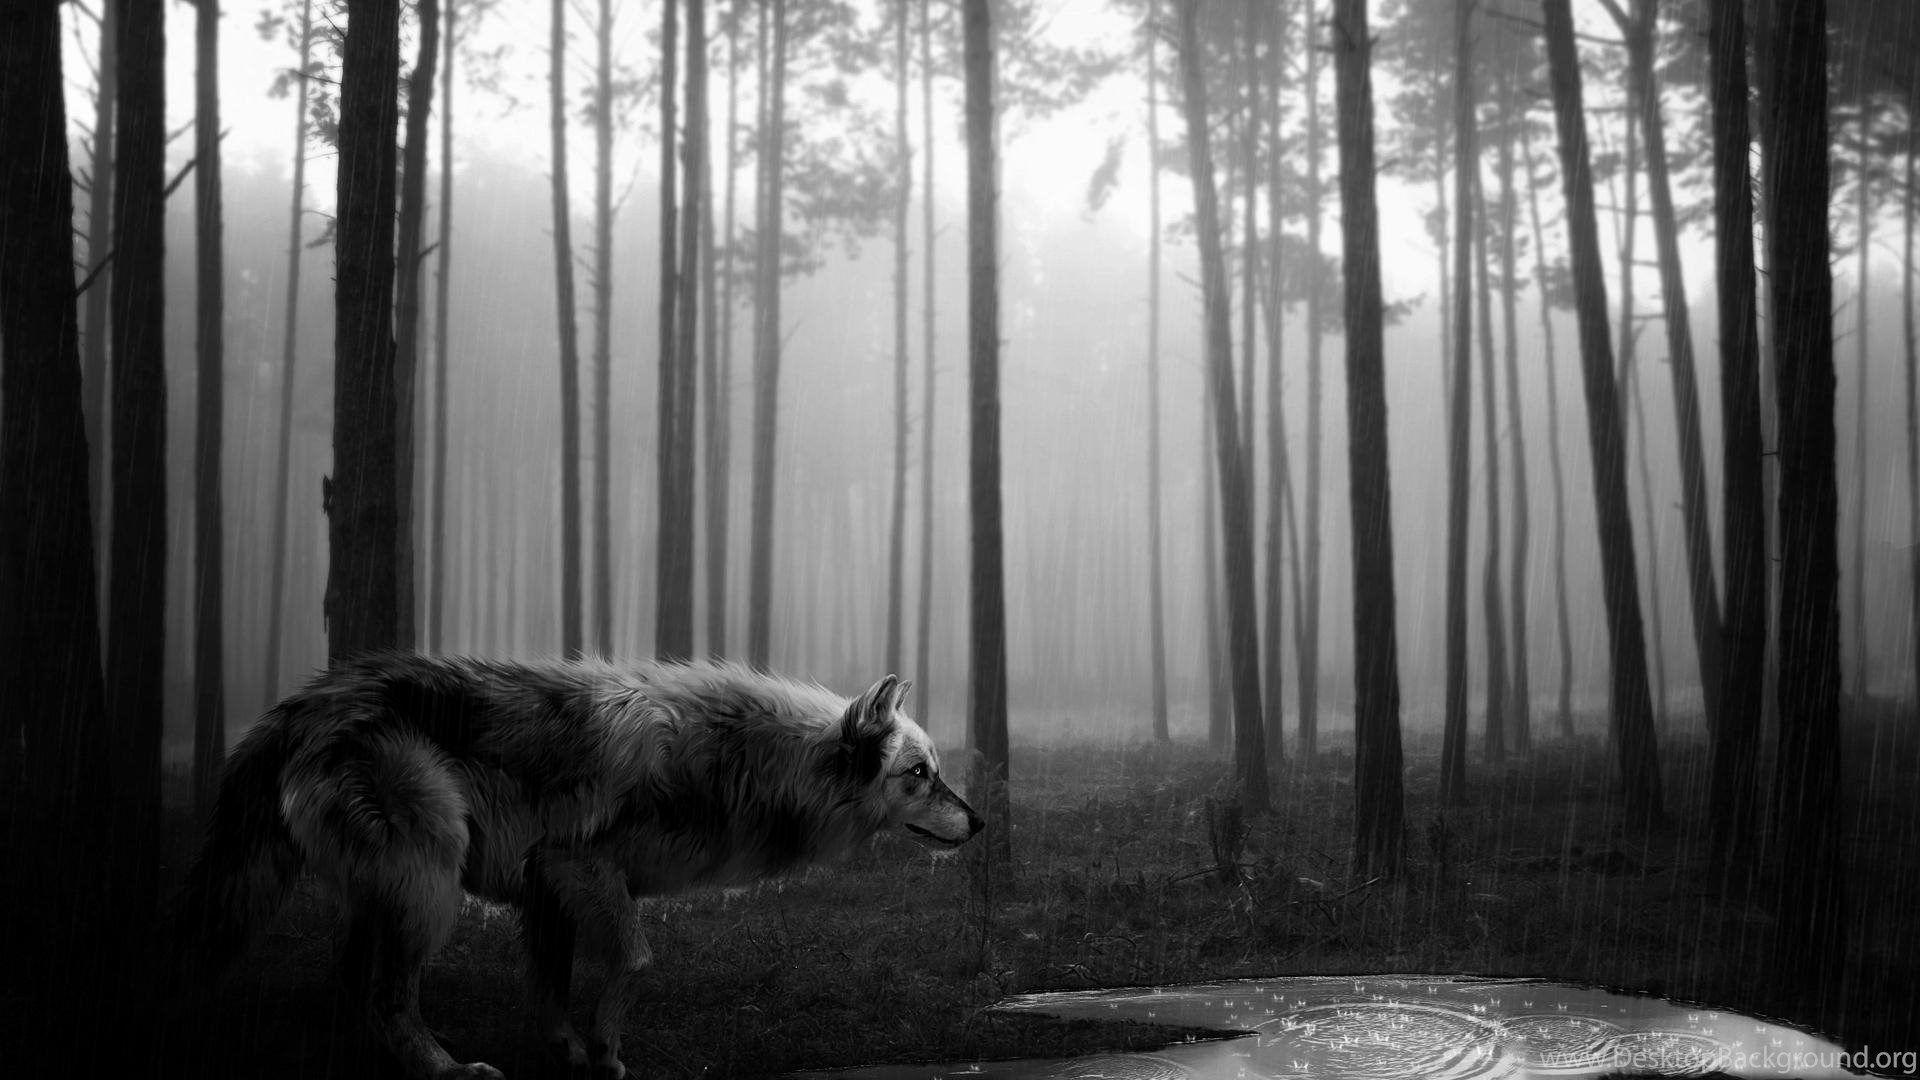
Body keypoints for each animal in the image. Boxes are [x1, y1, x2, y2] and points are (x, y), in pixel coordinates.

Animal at [172, 653, 983, 1080]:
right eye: (920, 775)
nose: (981, 822)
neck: (738, 762)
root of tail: (299, 706)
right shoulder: (576, 866)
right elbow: (635, 960)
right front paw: (606, 1053)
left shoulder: (545, 893)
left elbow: (551, 987)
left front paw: (566, 1049)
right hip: (428, 888)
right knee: (386, 995)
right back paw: (448, 1071)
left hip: (396, 893)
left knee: (354, 982)